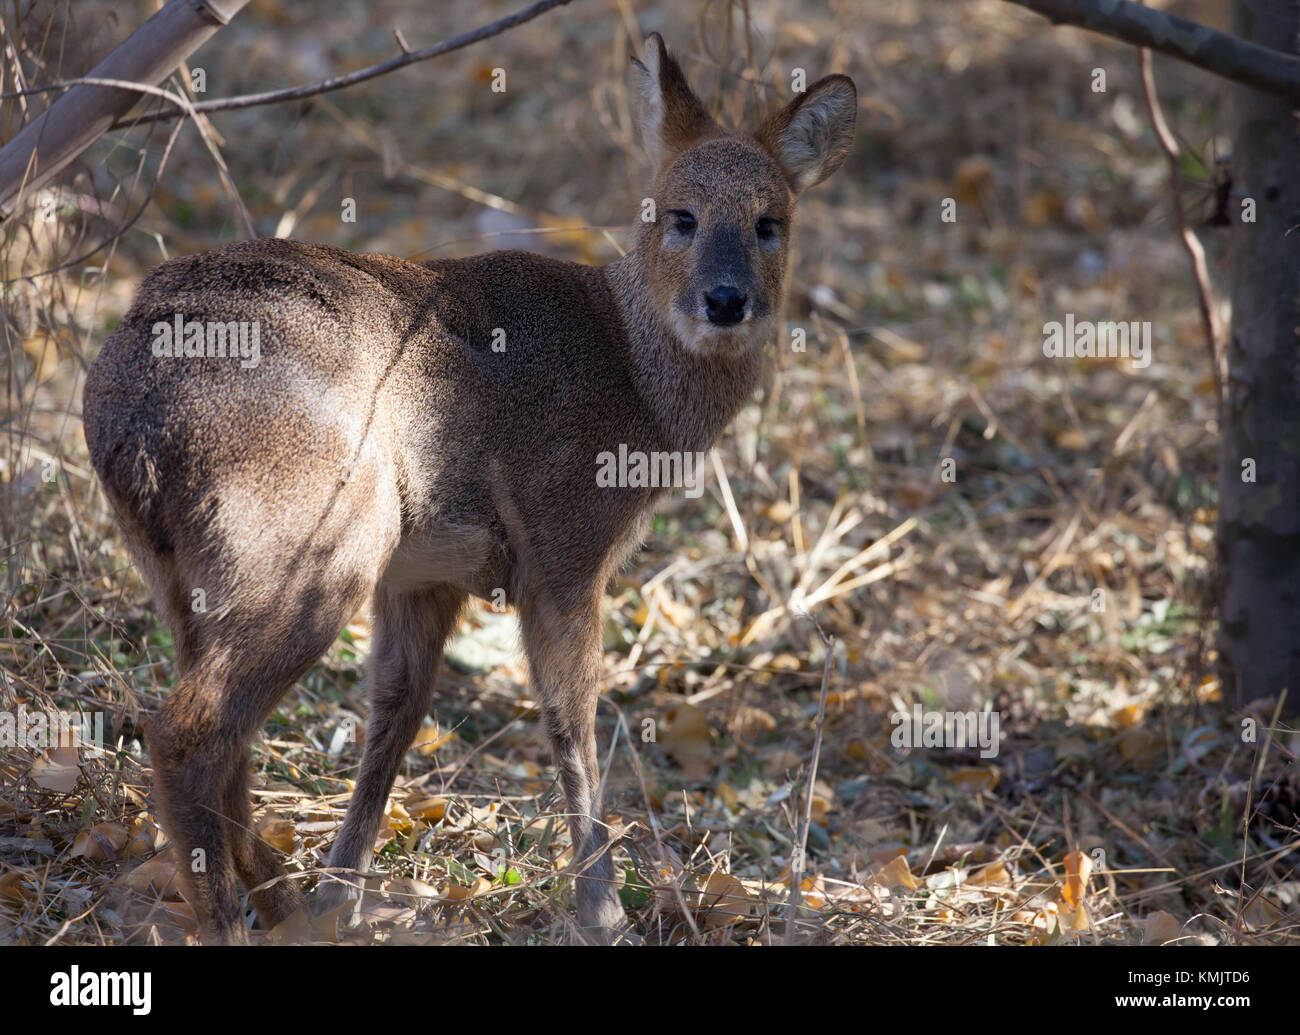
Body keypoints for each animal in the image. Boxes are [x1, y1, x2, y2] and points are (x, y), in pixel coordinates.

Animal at [82, 34, 856, 945]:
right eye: (681, 215)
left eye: (772, 221)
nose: (726, 300)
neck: (634, 372)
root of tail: (130, 415)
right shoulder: (562, 543)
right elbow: (571, 718)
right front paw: (600, 907)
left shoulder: (427, 575)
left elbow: (397, 715)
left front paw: (340, 895)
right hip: (314, 543)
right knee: (187, 731)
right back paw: (239, 917)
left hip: (194, 575)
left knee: (222, 732)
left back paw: (280, 898)